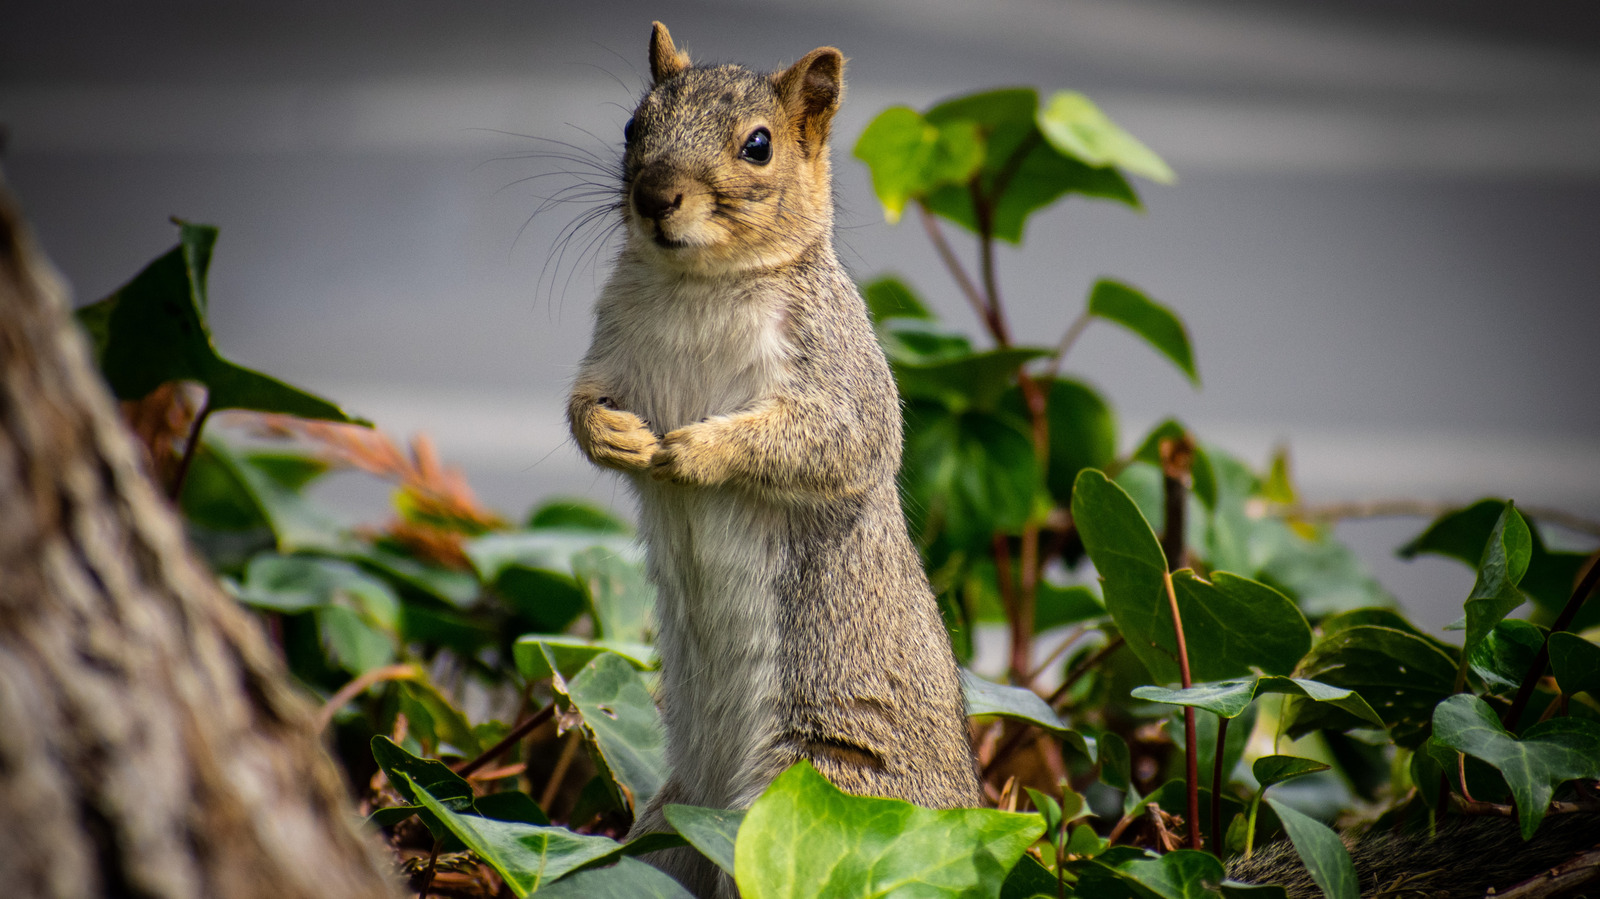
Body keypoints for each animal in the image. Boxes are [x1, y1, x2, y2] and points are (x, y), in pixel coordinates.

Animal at [566, 21, 982, 896]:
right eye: (632, 126)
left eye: (758, 146)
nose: (654, 196)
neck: (697, 285)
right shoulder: (609, 350)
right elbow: (580, 406)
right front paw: (617, 438)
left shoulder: (836, 371)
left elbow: (835, 441)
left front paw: (695, 448)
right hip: (671, 828)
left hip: (813, 798)